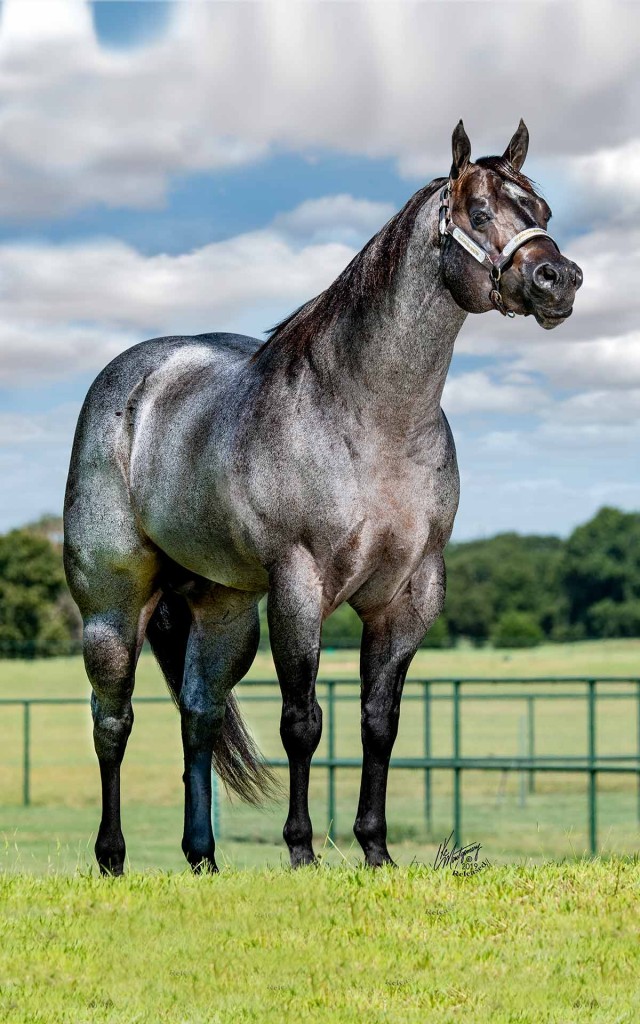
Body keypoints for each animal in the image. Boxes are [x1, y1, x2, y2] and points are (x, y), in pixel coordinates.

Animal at [63, 120, 582, 875]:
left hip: (225, 613)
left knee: (199, 714)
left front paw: (376, 850)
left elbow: (379, 722)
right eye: (480, 211)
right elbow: (302, 722)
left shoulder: (408, 595)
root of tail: (136, 379)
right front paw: (303, 851)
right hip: (112, 605)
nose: (558, 279)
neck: (372, 417)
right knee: (113, 720)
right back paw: (112, 859)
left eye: (541, 211)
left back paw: (203, 860)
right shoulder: (299, 585)